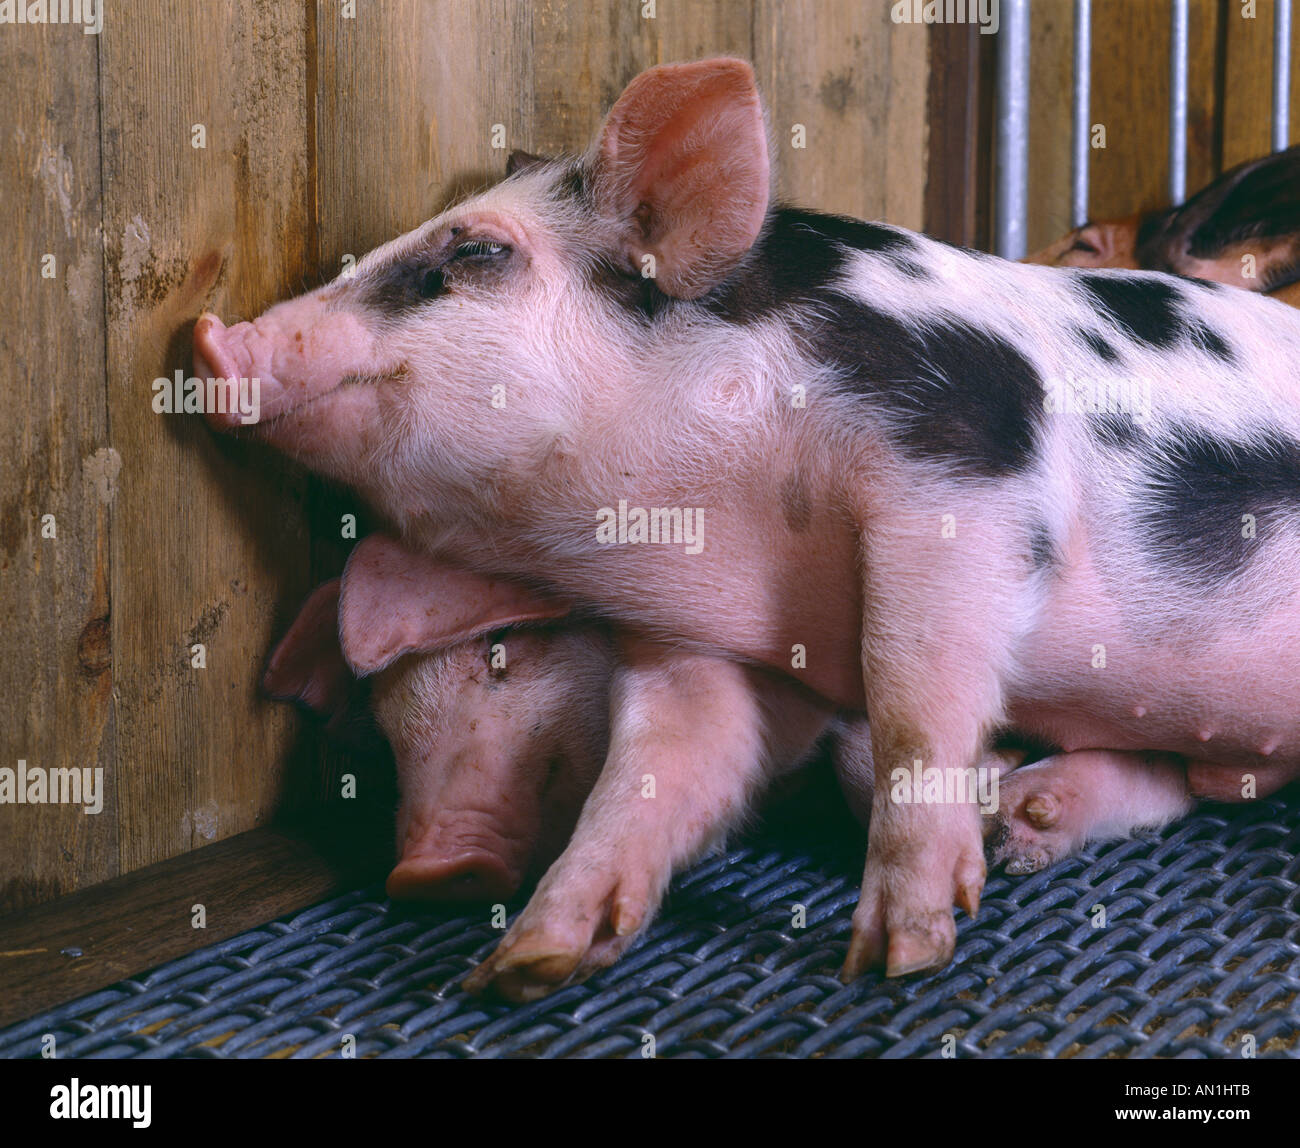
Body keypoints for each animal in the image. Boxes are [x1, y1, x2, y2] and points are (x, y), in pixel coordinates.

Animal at [194, 57, 1300, 991]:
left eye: (476, 248)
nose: (212, 338)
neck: (701, 517)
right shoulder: (698, 645)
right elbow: (660, 765)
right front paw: (519, 965)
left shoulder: (961, 469)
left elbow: (908, 683)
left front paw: (896, 955)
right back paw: (1026, 816)